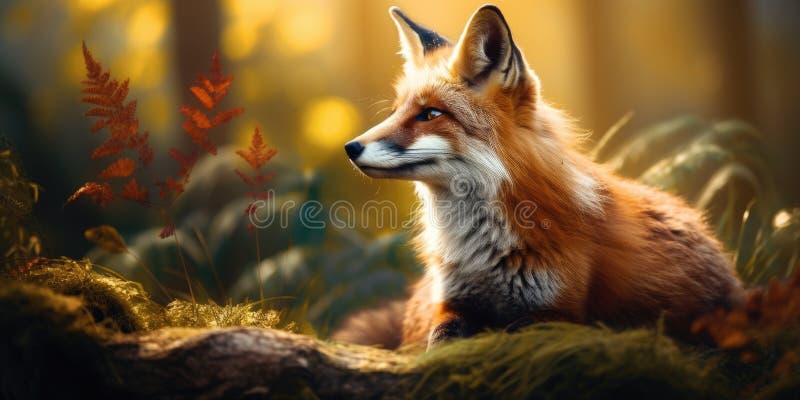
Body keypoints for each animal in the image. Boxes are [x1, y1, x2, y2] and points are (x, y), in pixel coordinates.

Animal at [334, 5, 745, 351]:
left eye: (430, 114)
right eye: (396, 111)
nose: (350, 147)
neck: (482, 251)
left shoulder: (553, 312)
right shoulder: (452, 302)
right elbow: (439, 343)